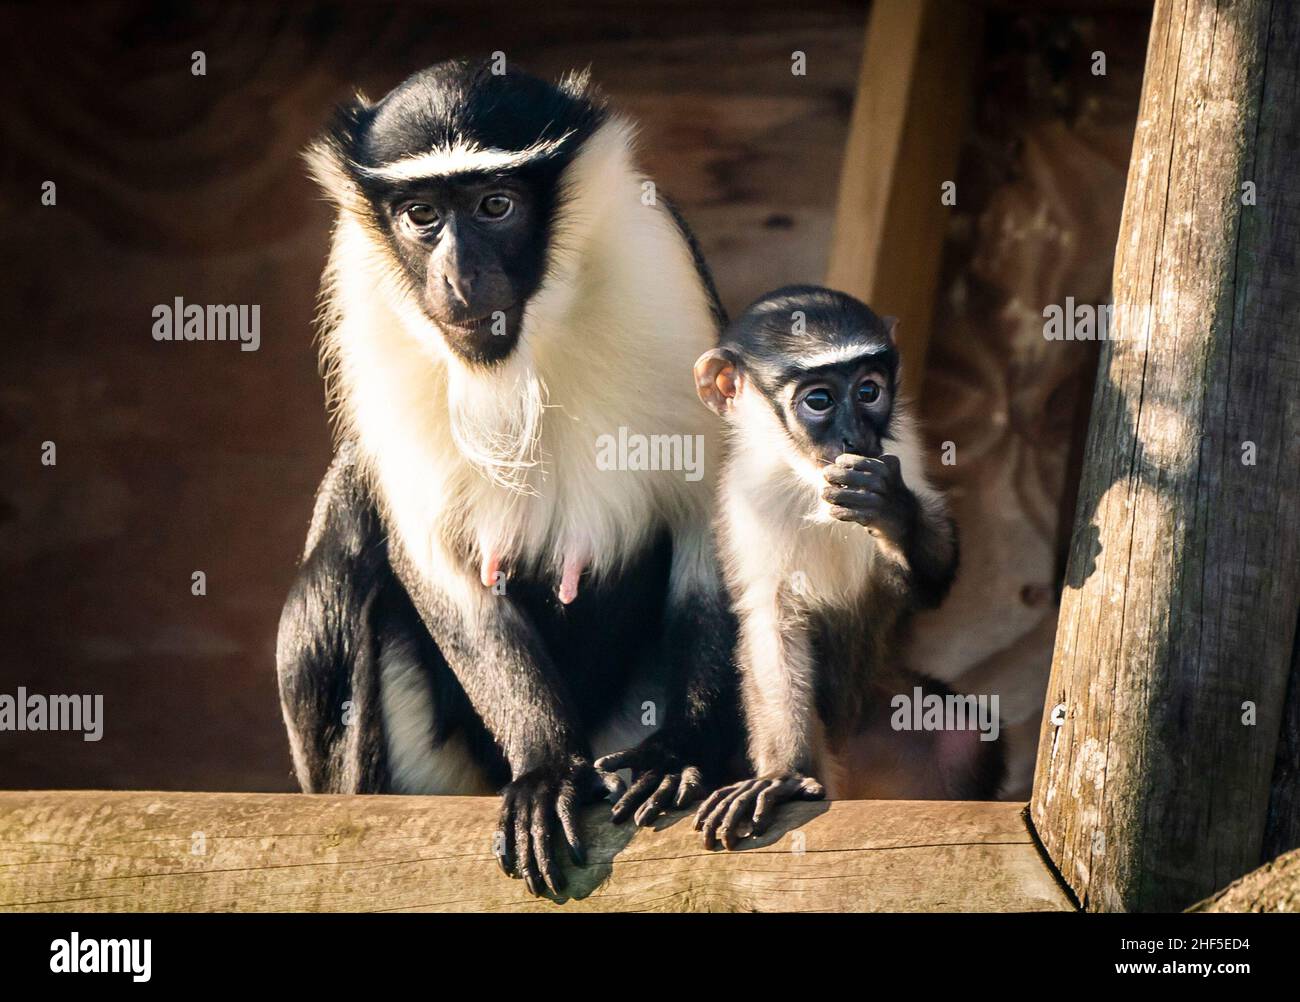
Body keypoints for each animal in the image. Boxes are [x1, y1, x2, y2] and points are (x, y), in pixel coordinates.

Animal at [275, 60, 742, 897]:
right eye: (421, 215)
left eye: (497, 205)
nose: (459, 276)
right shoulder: (369, 306)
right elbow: (437, 557)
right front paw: (547, 770)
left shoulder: (660, 267)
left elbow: (707, 521)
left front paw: (677, 755)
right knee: (350, 516)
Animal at [690, 286, 1003, 849]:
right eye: (819, 400)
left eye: (869, 391)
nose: (856, 437)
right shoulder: (744, 498)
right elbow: (771, 621)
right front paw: (783, 776)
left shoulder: (904, 452)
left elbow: (930, 584)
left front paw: (892, 511)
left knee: (964, 736)